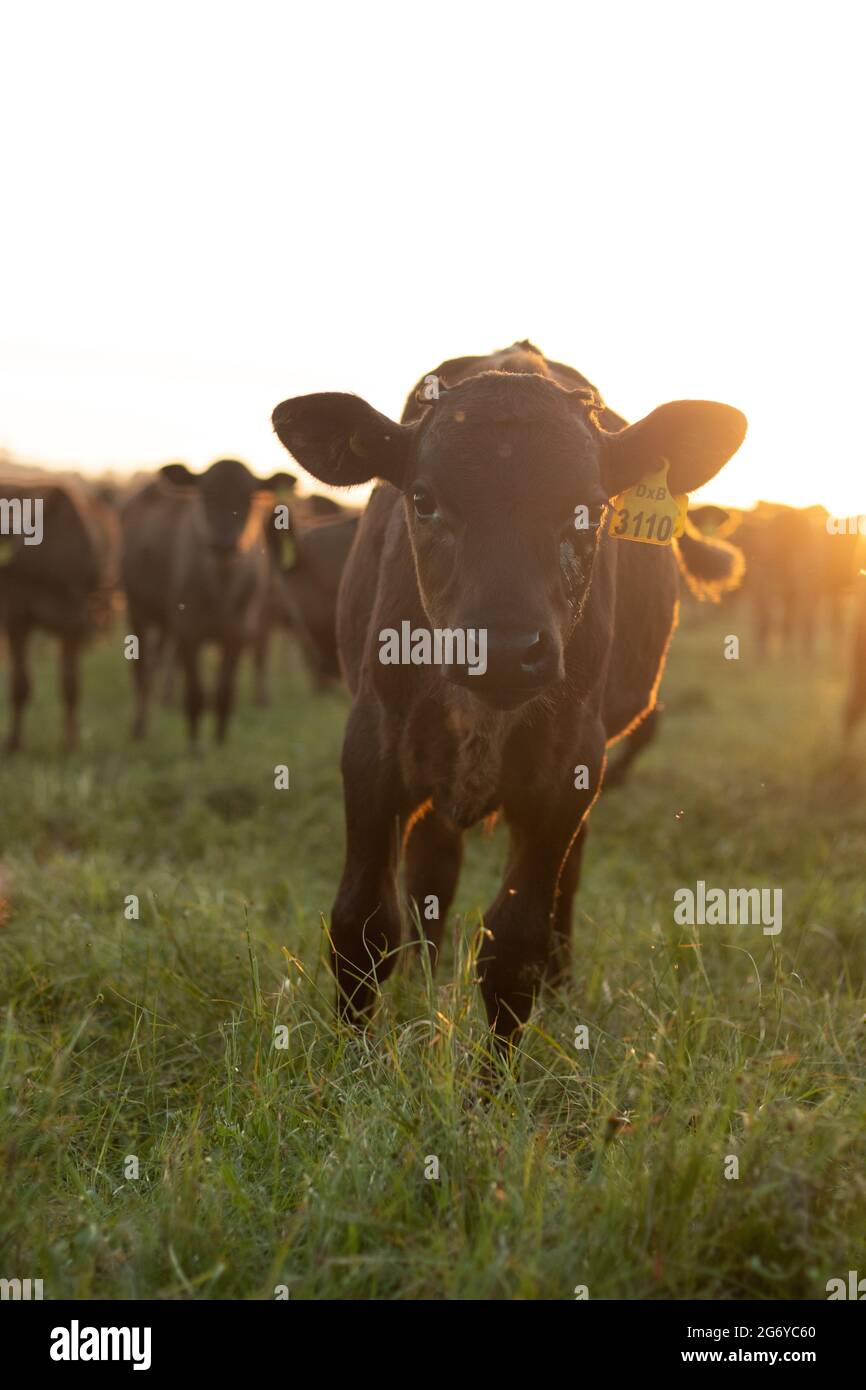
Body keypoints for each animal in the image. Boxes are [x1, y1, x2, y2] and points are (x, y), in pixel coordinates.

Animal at [0, 478, 109, 750]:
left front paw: (70, 743)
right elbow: (20, 684)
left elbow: (71, 684)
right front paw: (14, 742)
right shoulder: (17, 617)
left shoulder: (74, 622)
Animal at [120, 458, 292, 743]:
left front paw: (220, 743)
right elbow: (196, 694)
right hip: (137, 610)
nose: (224, 543)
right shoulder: (188, 630)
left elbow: (224, 693)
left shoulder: (238, 632)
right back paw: (139, 727)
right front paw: (194, 746)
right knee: (142, 672)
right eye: (207, 494)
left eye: (247, 497)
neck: (220, 587)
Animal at [271, 341, 747, 1051]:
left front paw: (496, 1074)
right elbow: (362, 924)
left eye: (590, 507)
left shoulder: (568, 769)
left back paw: (560, 983)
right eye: (423, 498)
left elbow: (514, 945)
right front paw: (351, 1059)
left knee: (562, 880)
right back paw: (423, 978)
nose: (500, 647)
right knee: (433, 866)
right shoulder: (371, 746)